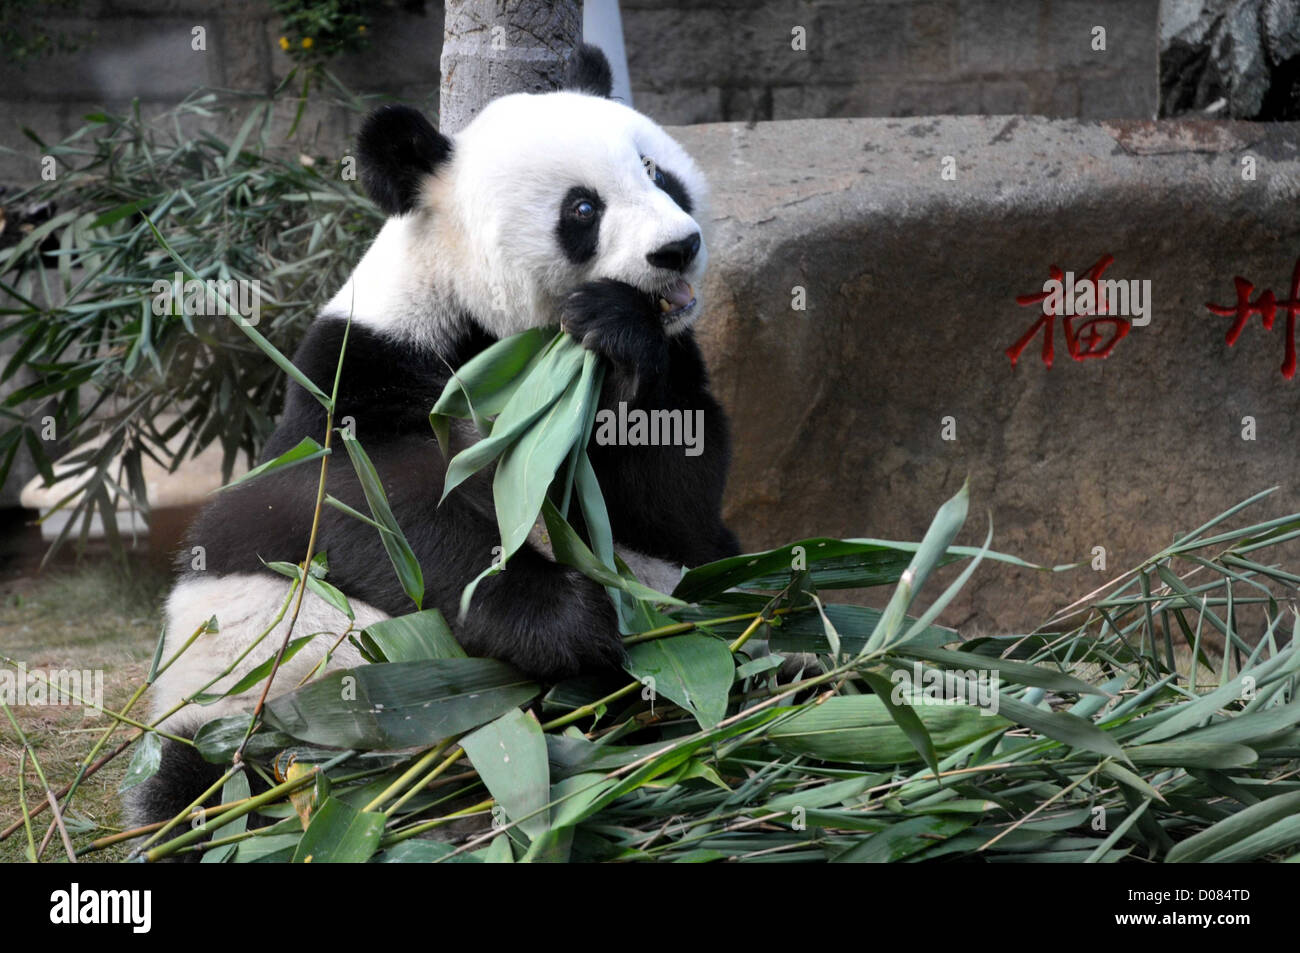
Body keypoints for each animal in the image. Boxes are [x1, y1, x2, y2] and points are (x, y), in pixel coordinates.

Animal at [128, 45, 740, 831]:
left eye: (657, 172)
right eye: (583, 208)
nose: (678, 249)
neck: (504, 344)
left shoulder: (665, 378)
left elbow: (673, 514)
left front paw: (620, 329)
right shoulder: (362, 371)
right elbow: (359, 508)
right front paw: (566, 618)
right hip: (239, 706)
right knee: (191, 785)